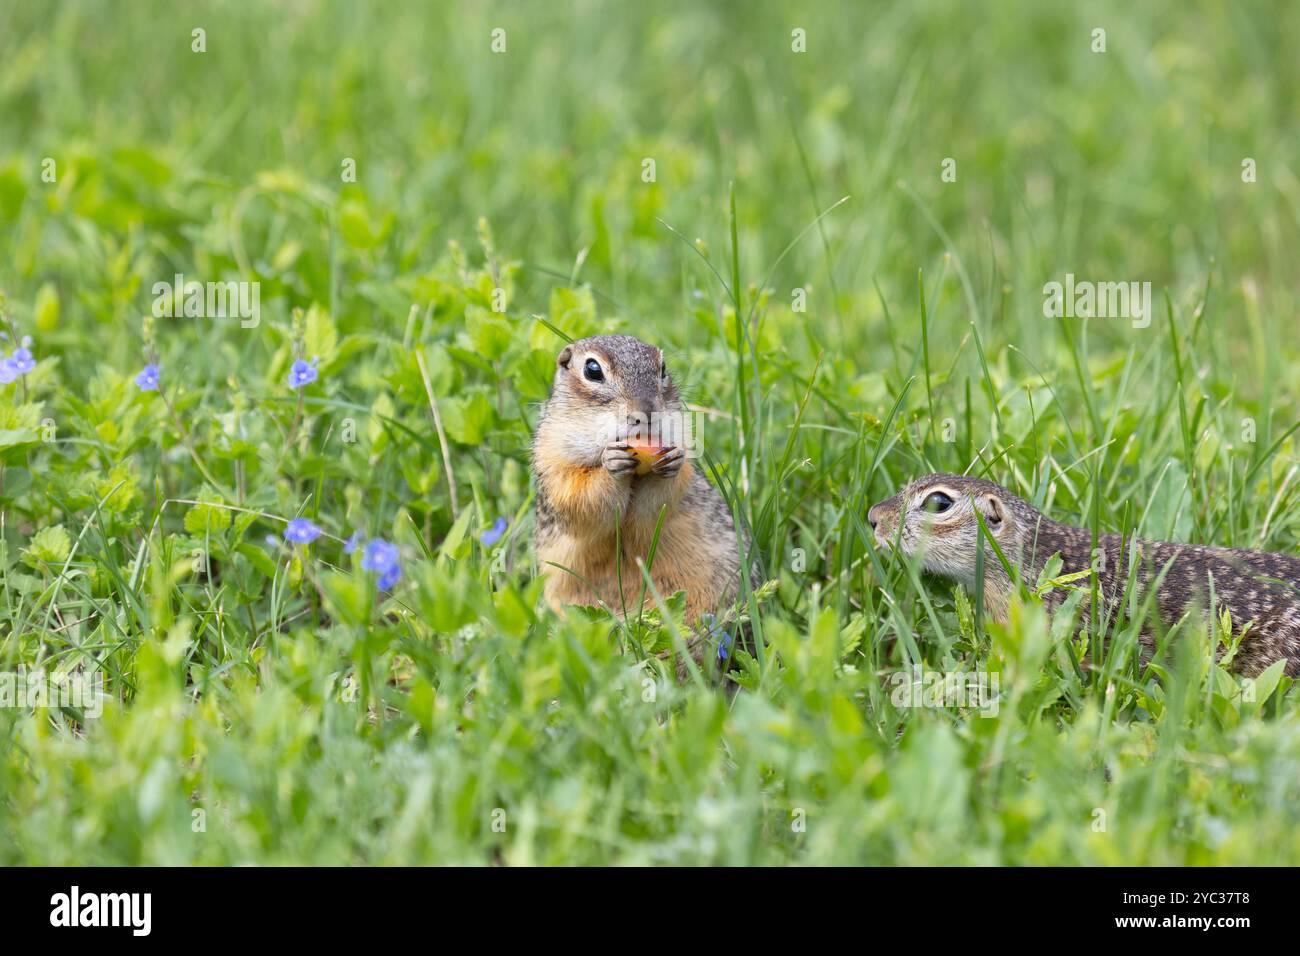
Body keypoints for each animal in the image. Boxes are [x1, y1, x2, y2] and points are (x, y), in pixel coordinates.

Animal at [532, 334, 753, 665]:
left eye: (662, 369)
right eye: (592, 370)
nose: (646, 410)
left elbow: (654, 510)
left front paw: (671, 464)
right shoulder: (554, 461)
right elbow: (581, 503)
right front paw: (611, 465)